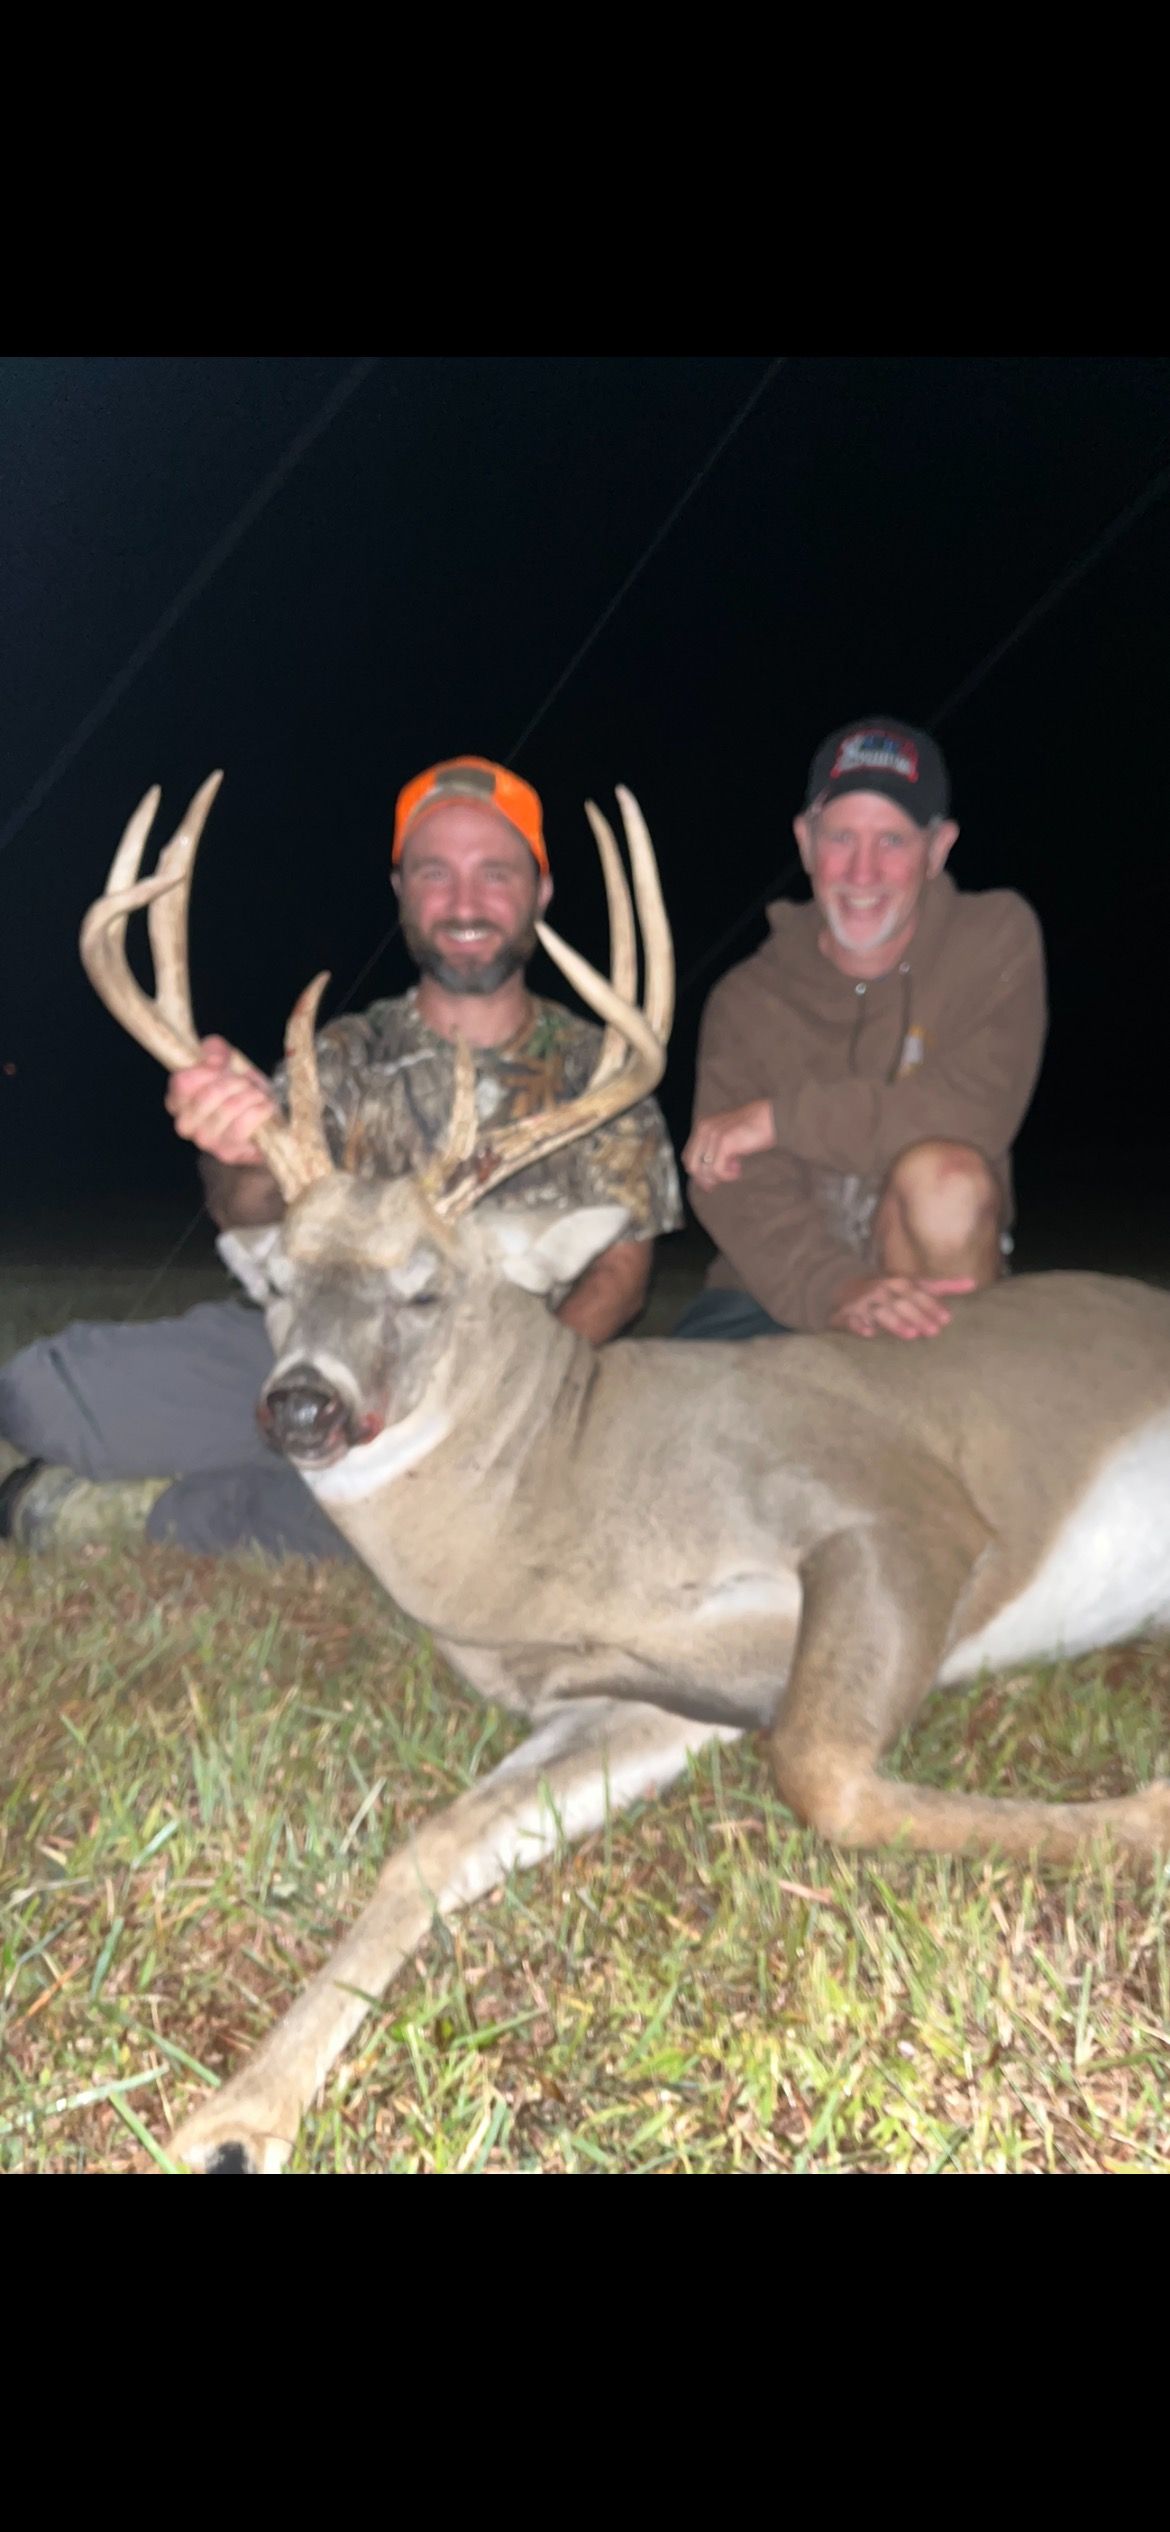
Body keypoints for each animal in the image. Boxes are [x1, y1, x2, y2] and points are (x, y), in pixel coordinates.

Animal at [79, 773, 1170, 2173]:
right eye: (278, 1288)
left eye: (426, 1288)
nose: (303, 1404)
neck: (568, 1492)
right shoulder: (647, 1698)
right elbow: (432, 1845)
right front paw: (238, 2115)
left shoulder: (897, 1502)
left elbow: (823, 1775)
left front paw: (1148, 1813)